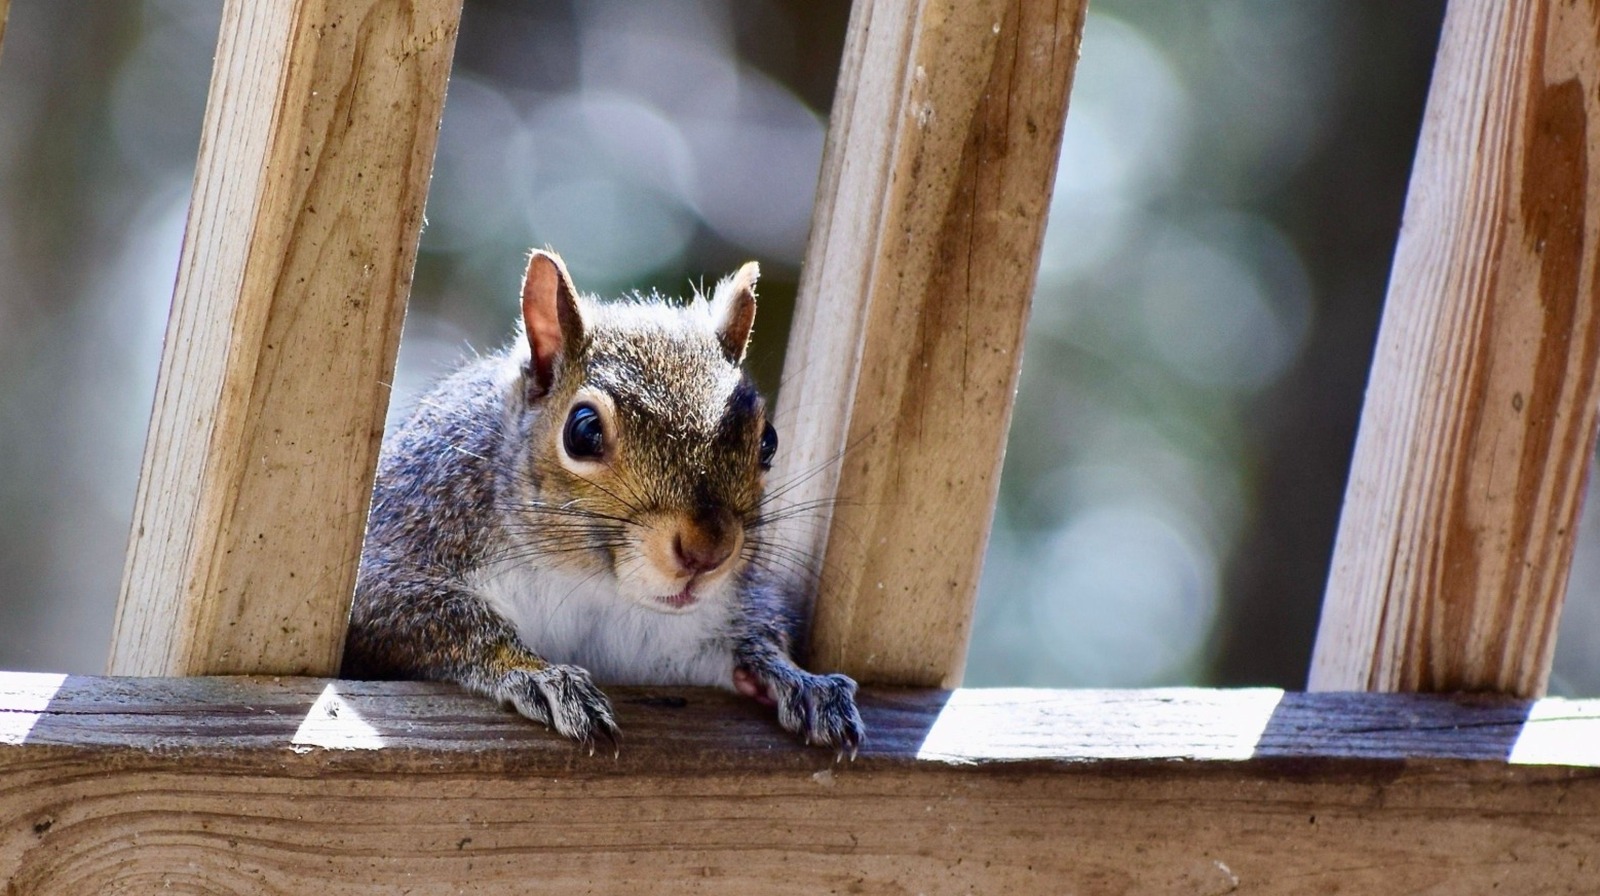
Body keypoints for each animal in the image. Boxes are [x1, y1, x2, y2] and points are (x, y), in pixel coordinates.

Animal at [342, 249, 863, 755]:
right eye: (584, 431)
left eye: (768, 442)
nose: (707, 552)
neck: (594, 586)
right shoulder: (413, 533)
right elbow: (424, 613)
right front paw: (537, 672)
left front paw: (794, 677)